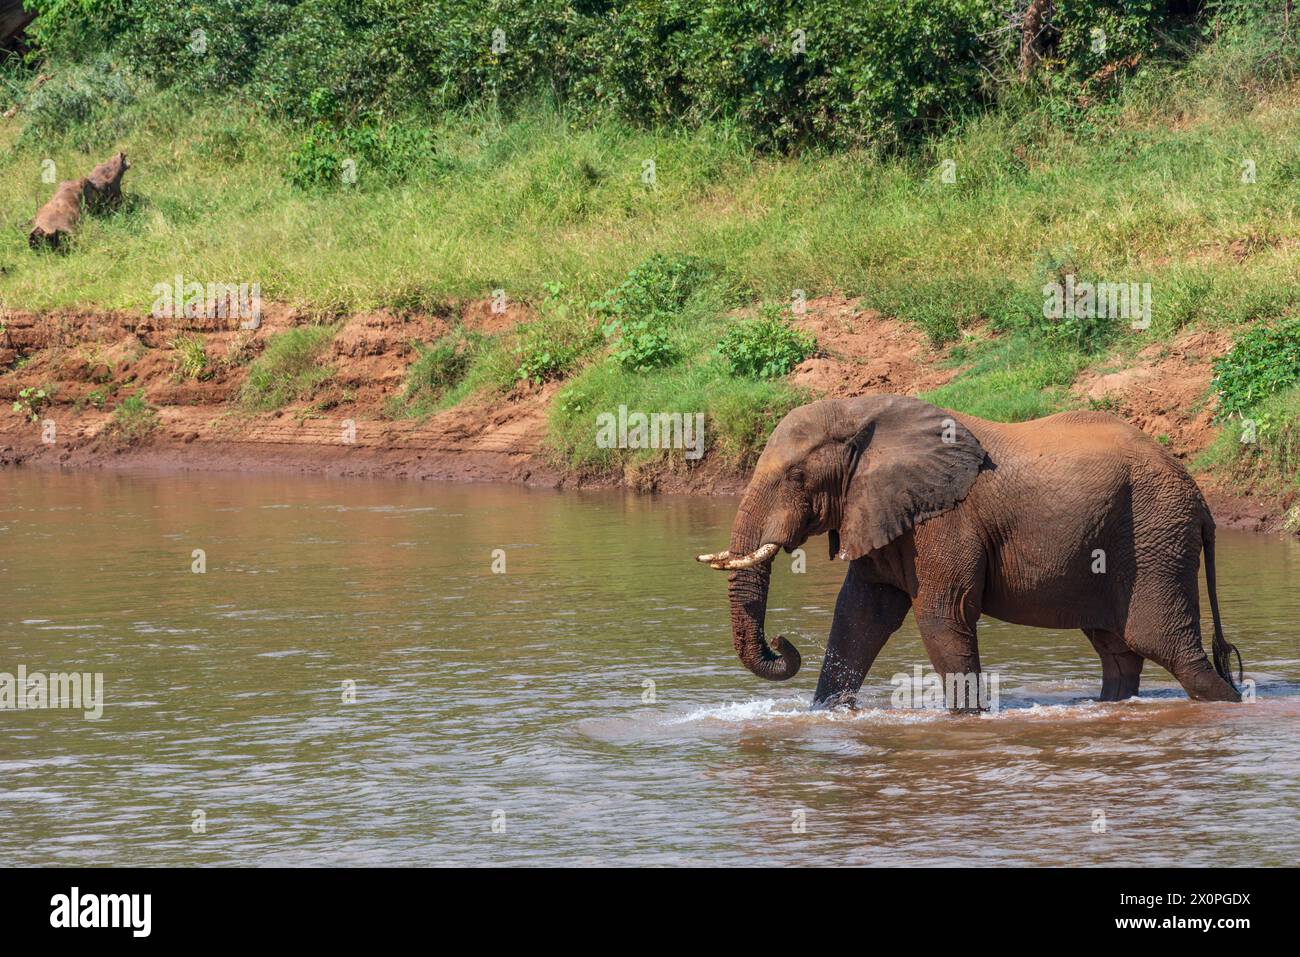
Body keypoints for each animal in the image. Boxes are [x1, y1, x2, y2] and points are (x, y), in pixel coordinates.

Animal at [696, 395, 1244, 708]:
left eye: (795, 477)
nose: (783, 643)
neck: (864, 414)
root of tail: (1201, 500)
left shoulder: (946, 519)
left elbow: (943, 614)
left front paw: (965, 721)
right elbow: (860, 615)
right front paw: (825, 714)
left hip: (1155, 538)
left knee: (1165, 646)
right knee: (1118, 651)